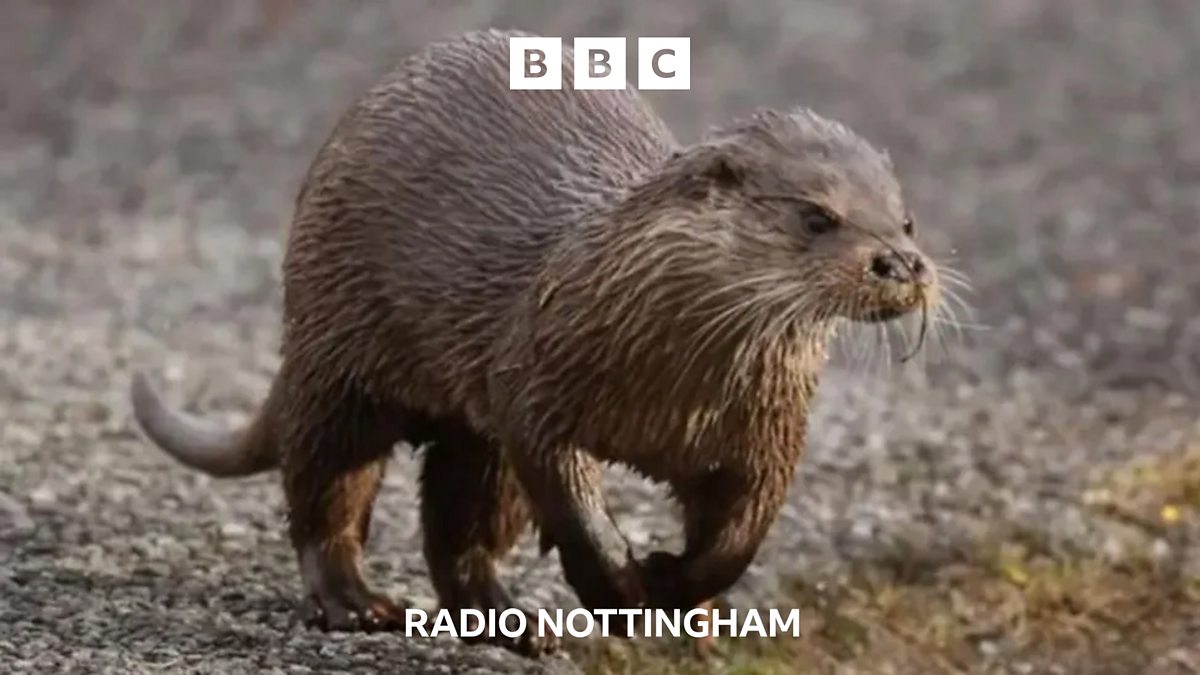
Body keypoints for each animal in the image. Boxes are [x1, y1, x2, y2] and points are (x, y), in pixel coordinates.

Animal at [130, 28, 940, 657]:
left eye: (906, 221)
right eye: (818, 216)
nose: (901, 263)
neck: (676, 389)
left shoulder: (767, 432)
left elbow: (739, 534)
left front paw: (681, 594)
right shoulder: (537, 381)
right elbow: (570, 500)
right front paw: (622, 588)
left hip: (464, 426)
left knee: (460, 521)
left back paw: (512, 623)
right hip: (339, 354)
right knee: (328, 484)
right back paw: (354, 603)